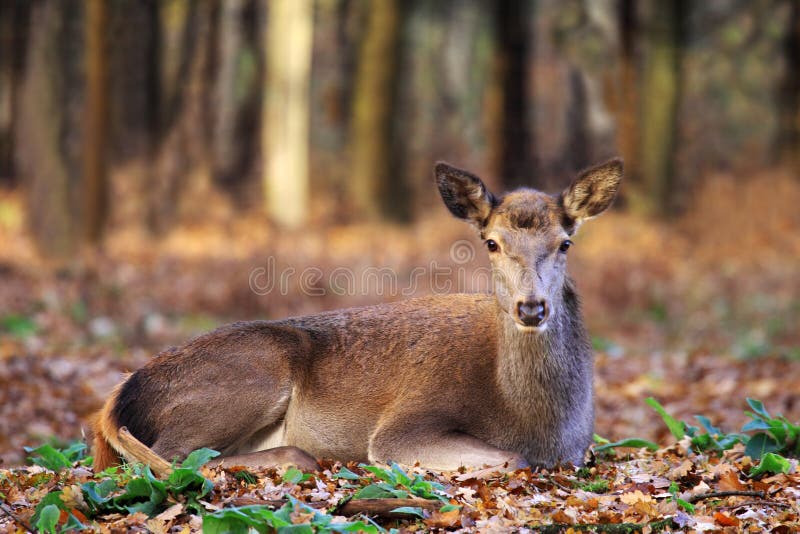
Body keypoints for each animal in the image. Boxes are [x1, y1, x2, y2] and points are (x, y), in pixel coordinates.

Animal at [92, 158, 623, 476]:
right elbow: (513, 459)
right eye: (491, 242)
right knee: (172, 458)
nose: (531, 308)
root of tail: (117, 403)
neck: (538, 422)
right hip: (251, 371)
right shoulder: (404, 425)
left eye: (565, 242)